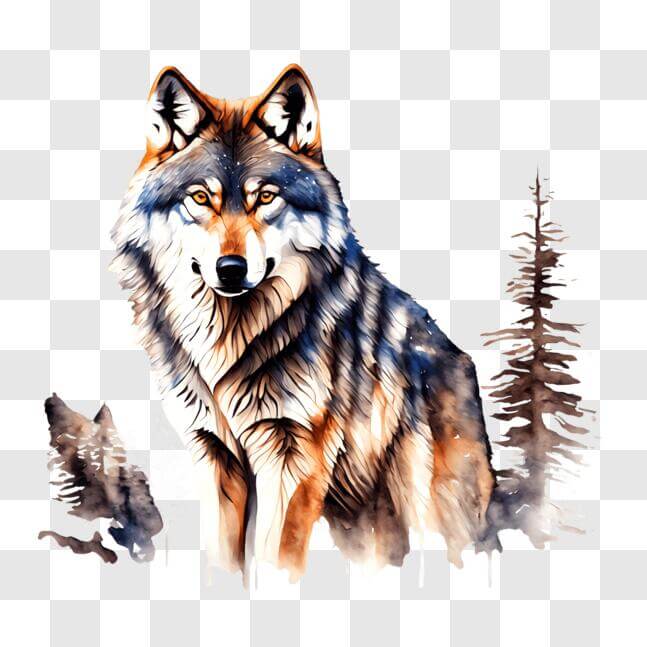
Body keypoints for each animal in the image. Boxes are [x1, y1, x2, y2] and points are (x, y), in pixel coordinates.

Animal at [111, 65, 495, 580]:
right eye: (200, 198)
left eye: (265, 197)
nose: (230, 269)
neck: (230, 340)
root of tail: (460, 360)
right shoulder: (214, 455)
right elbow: (226, 557)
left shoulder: (293, 457)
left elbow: (277, 560)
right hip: (365, 528)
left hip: (433, 512)